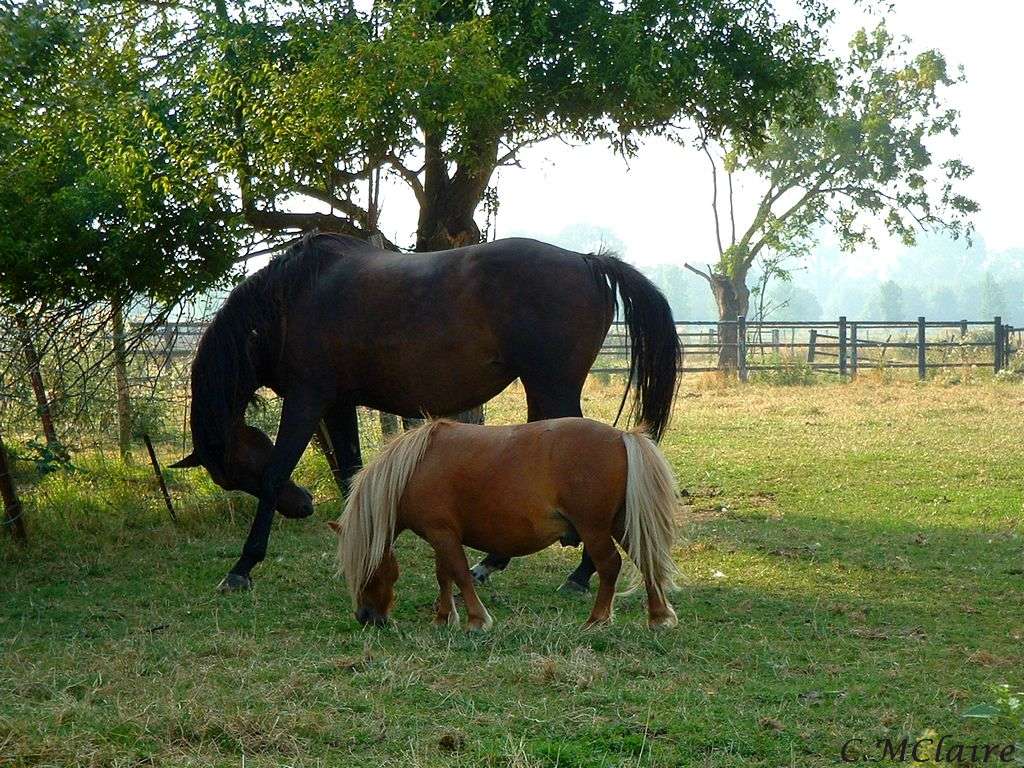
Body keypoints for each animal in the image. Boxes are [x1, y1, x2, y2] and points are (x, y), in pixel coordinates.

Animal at [172, 232, 680, 593]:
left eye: (241, 469)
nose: (303, 507)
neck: (288, 303)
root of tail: (587, 260)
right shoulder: (338, 404)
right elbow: (351, 473)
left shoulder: (306, 401)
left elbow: (280, 470)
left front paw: (243, 566)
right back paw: (494, 563)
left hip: (552, 387)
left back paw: (579, 574)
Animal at [329, 417, 680, 630]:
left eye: (363, 568)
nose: (365, 617)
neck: (414, 469)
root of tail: (622, 436)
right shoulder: (440, 535)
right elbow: (444, 575)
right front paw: (444, 617)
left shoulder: (442, 534)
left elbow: (459, 574)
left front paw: (476, 619)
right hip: (622, 524)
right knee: (646, 560)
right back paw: (658, 616)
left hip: (594, 529)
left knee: (609, 565)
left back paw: (596, 620)